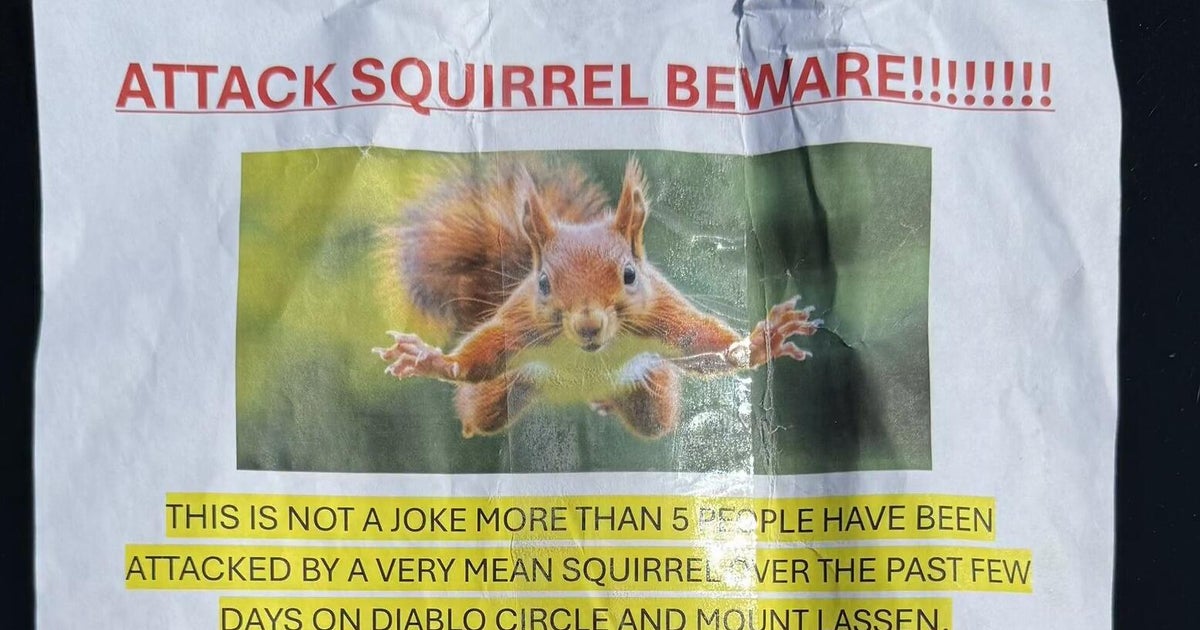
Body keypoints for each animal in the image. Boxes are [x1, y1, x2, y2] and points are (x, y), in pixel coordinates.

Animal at [374, 157, 821, 439]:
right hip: (500, 394)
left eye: (629, 274)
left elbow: (702, 345)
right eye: (543, 283)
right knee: (482, 412)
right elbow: (479, 358)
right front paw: (433, 360)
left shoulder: (662, 314)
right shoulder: (520, 323)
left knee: (654, 422)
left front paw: (761, 342)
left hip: (650, 396)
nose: (588, 325)